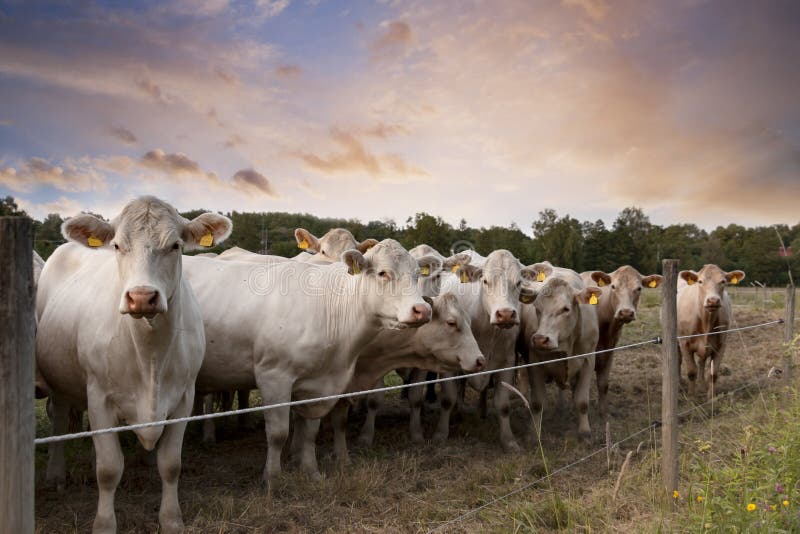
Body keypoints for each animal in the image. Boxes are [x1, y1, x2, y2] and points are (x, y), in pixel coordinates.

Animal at [36, 196, 232, 533]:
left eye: (175, 245)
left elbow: (170, 464)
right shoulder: (98, 396)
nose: (141, 297)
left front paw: (171, 519)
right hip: (59, 380)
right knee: (59, 420)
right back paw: (56, 475)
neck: (150, 356)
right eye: (117, 245)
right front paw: (104, 523)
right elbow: (109, 469)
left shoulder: (184, 397)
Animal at [182, 239, 436, 490]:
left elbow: (310, 432)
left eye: (417, 275)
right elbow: (278, 433)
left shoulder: (317, 385)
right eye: (383, 273)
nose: (422, 310)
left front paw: (311, 471)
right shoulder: (274, 377)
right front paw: (272, 479)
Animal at [525, 263, 602, 440]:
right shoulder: (534, 363)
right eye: (537, 308)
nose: (540, 339)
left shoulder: (588, 361)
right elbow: (537, 403)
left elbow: (582, 401)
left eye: (565, 309)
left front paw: (585, 431)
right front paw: (534, 432)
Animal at [579, 266, 662, 418]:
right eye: (613, 286)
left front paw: (603, 413)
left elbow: (603, 384)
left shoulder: (610, 351)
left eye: (639, 288)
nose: (626, 312)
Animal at [677, 264, 745, 399]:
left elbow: (713, 373)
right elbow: (691, 371)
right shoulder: (684, 343)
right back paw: (679, 383)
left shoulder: (721, 345)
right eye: (700, 281)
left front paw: (711, 398)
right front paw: (691, 397)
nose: (713, 300)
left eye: (723, 281)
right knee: (678, 360)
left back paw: (702, 385)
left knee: (701, 362)